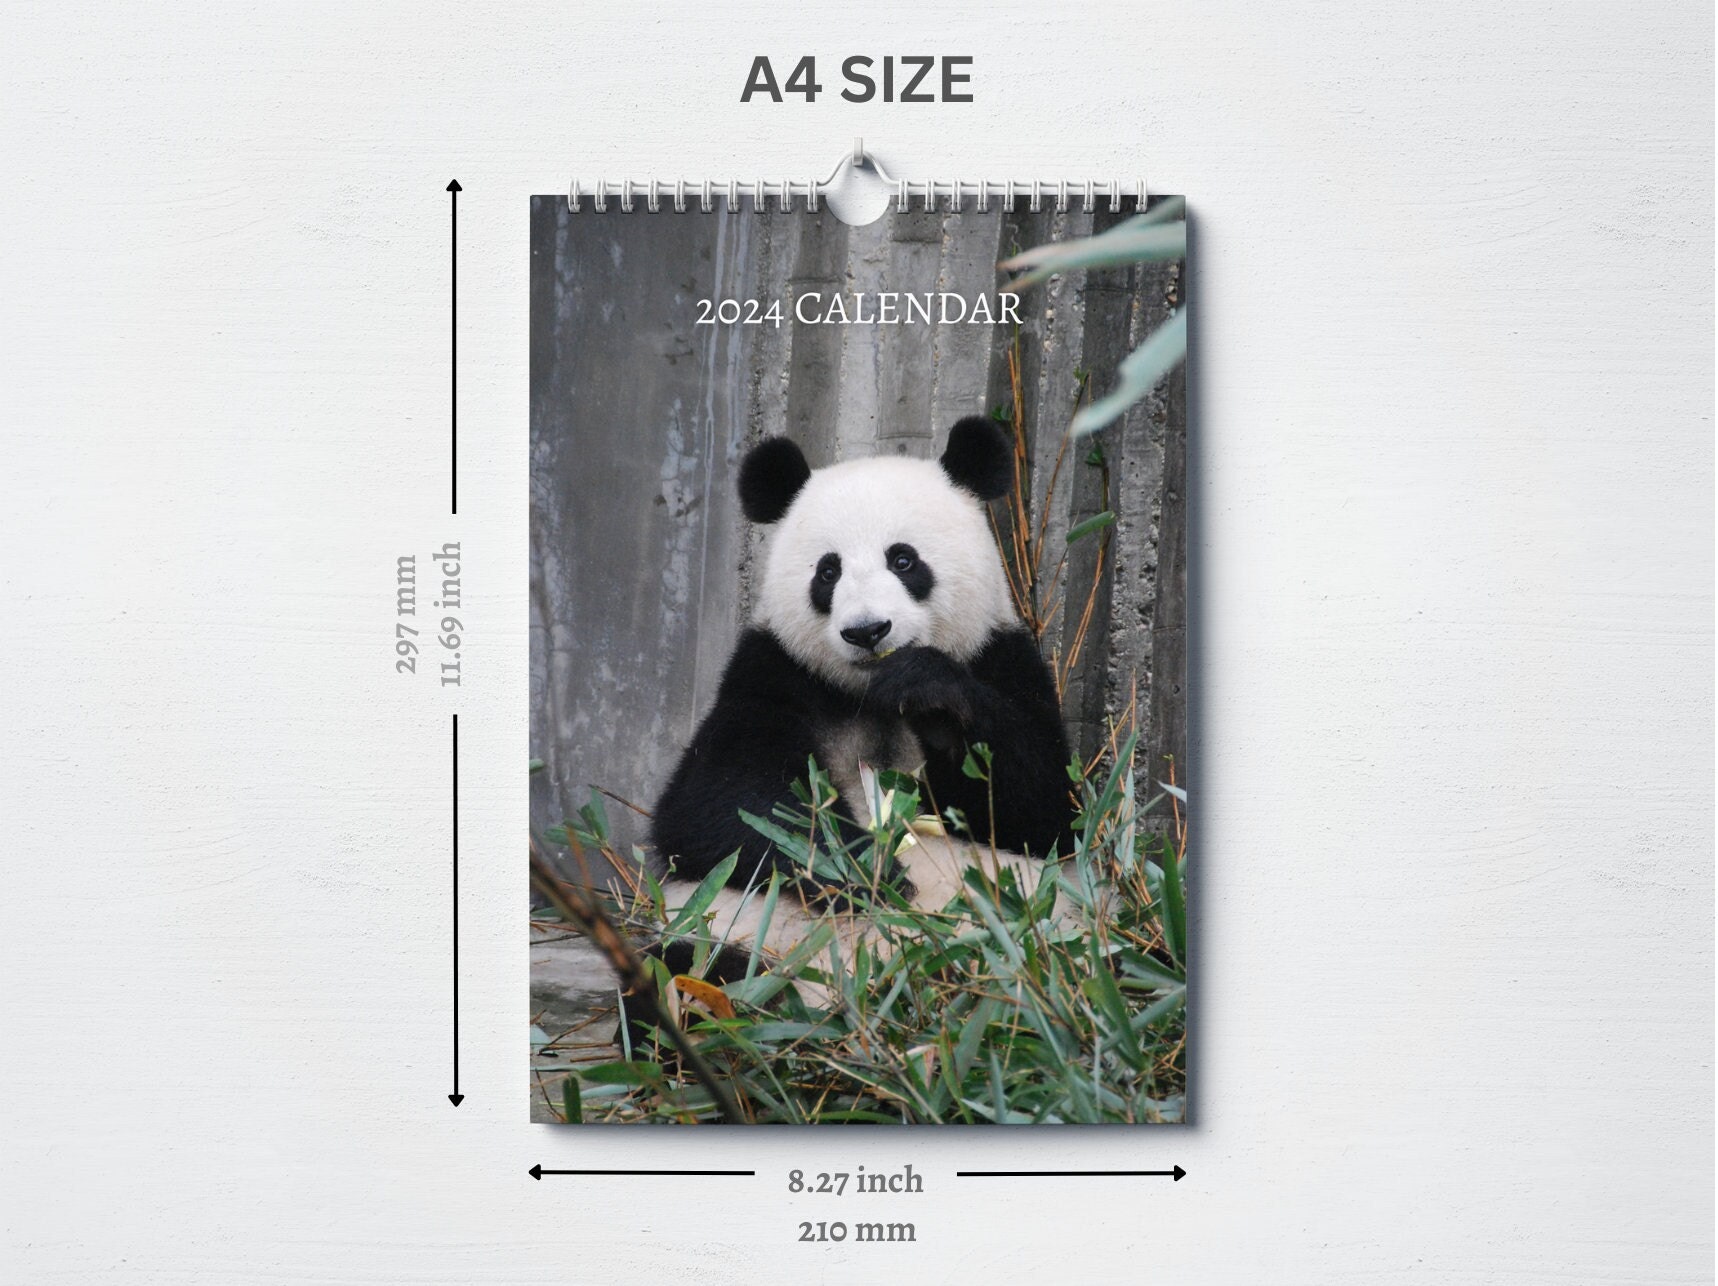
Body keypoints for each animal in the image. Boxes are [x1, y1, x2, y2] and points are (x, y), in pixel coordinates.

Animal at [647, 416, 1076, 992]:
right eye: (828, 572)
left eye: (903, 559)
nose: (867, 631)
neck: (868, 695)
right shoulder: (772, 674)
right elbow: (718, 807)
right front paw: (866, 871)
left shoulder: (999, 657)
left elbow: (1045, 808)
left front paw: (929, 694)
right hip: (722, 934)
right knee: (685, 972)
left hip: (1039, 944)